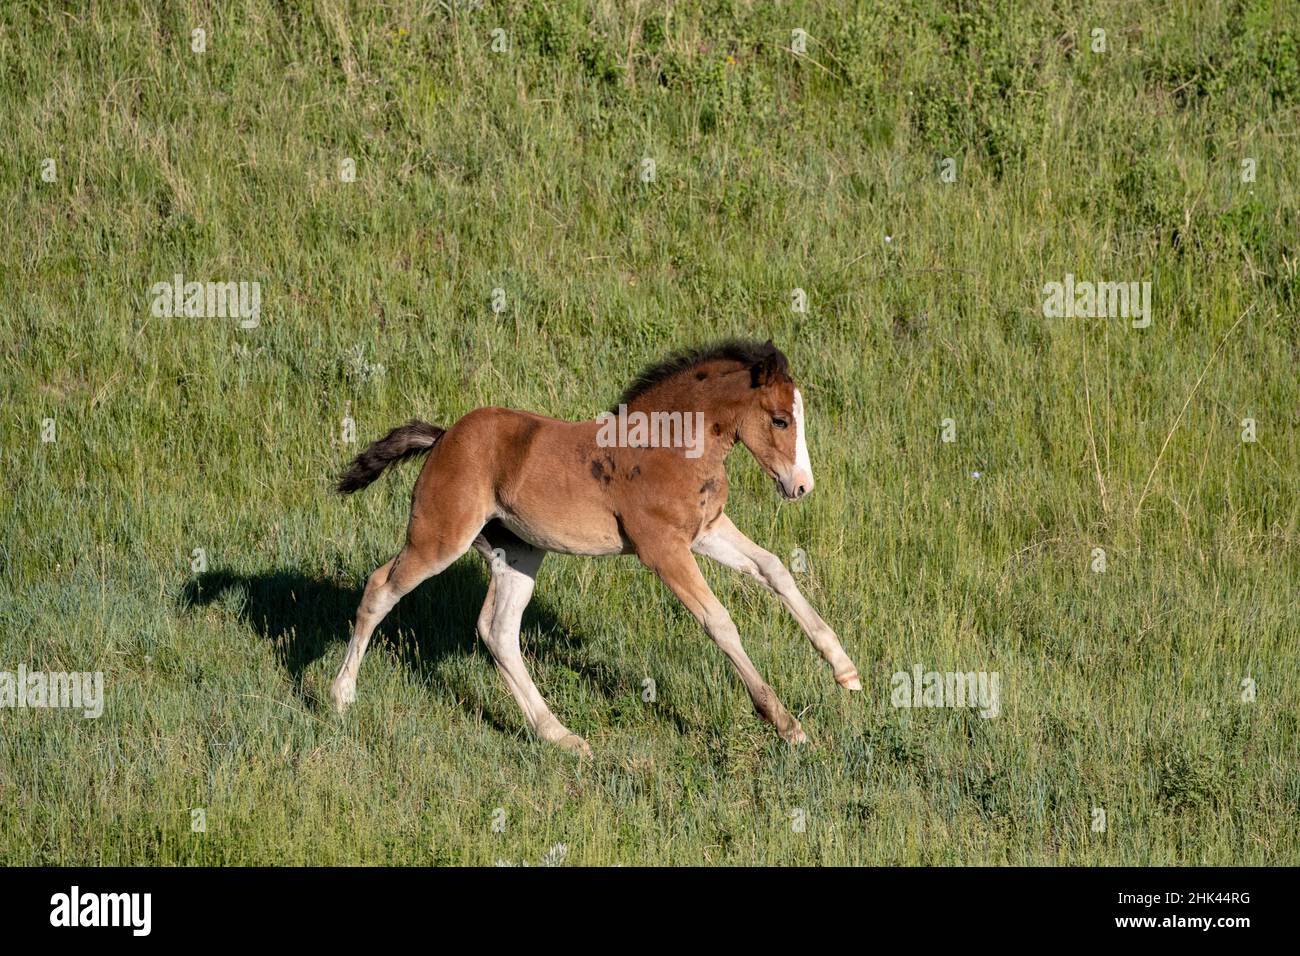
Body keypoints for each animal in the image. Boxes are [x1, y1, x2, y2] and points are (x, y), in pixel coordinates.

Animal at [330, 339, 861, 755]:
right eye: (780, 420)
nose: (801, 487)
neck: (669, 446)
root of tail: (442, 439)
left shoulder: (705, 530)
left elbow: (774, 568)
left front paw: (846, 671)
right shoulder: (662, 549)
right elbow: (719, 622)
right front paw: (784, 722)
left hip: (518, 554)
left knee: (497, 631)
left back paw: (561, 737)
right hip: (439, 536)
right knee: (380, 588)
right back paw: (339, 696)